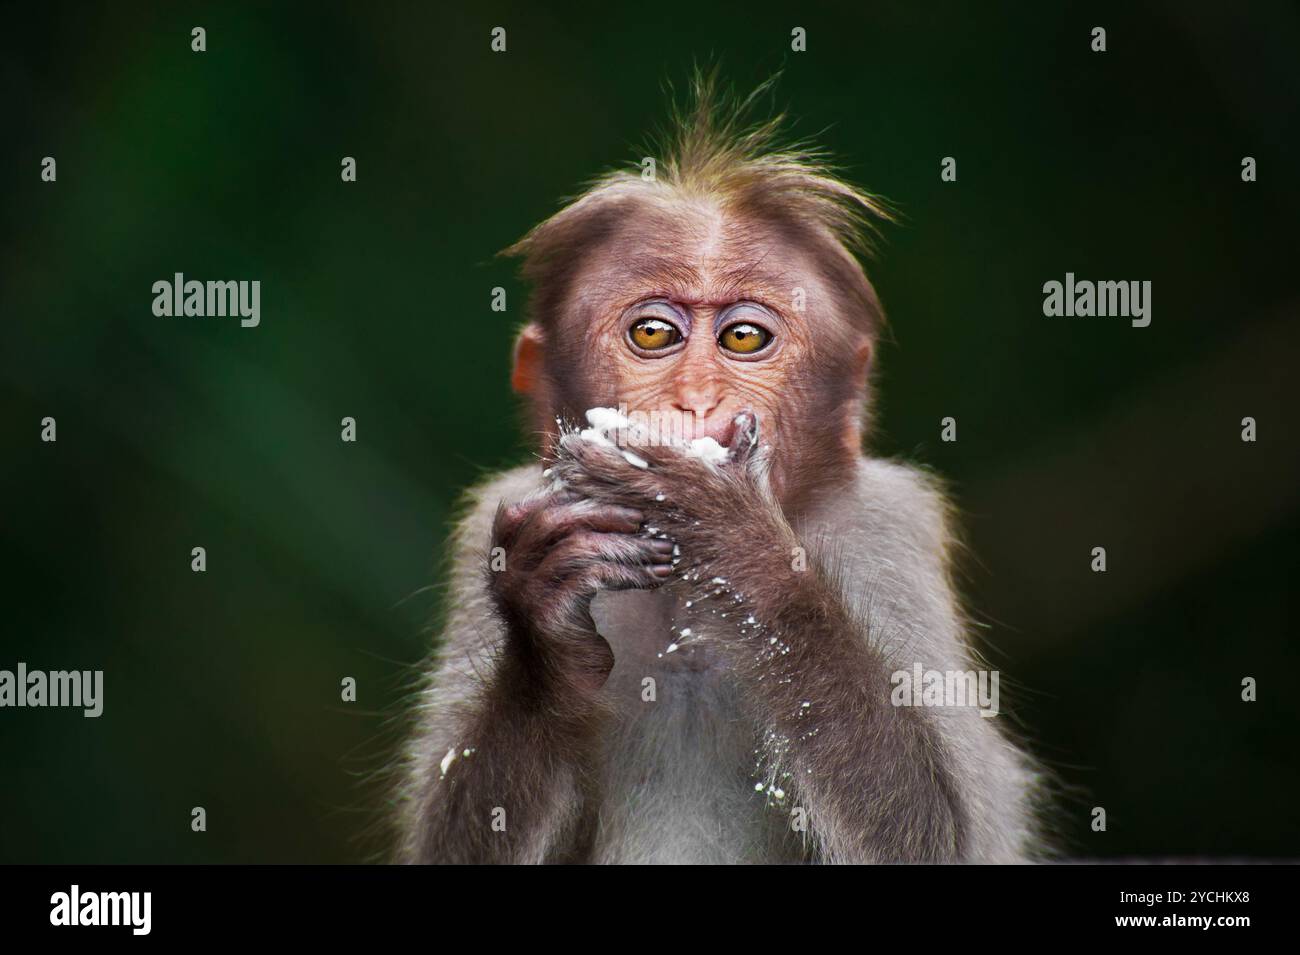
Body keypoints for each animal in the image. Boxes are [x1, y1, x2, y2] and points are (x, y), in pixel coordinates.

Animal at [395, 73, 1045, 864]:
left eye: (742, 338)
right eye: (653, 334)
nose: (697, 396)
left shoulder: (888, 529)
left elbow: (941, 830)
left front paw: (739, 543)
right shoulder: (490, 527)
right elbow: (443, 842)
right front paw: (544, 628)